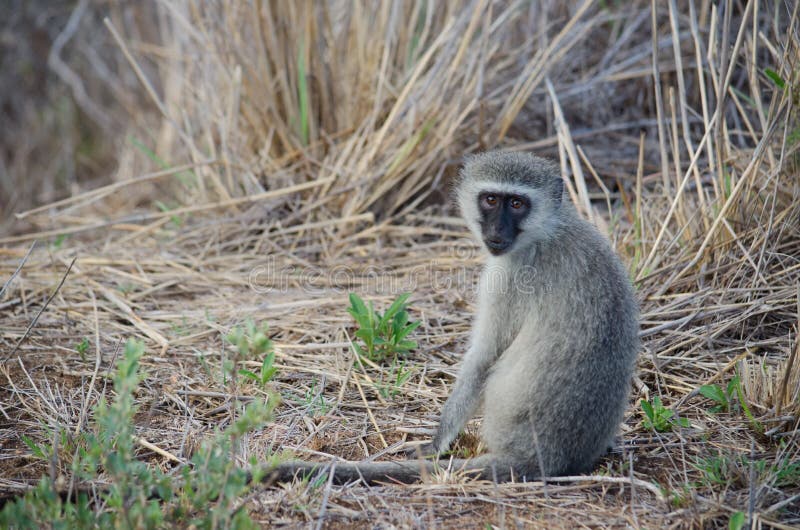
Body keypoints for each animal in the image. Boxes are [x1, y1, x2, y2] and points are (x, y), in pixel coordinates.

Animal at [266, 151, 639, 485]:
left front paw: (435, 444)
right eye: (491, 199)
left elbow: (484, 358)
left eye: (517, 204)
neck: (547, 232)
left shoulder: (508, 280)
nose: (497, 229)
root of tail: (548, 459)